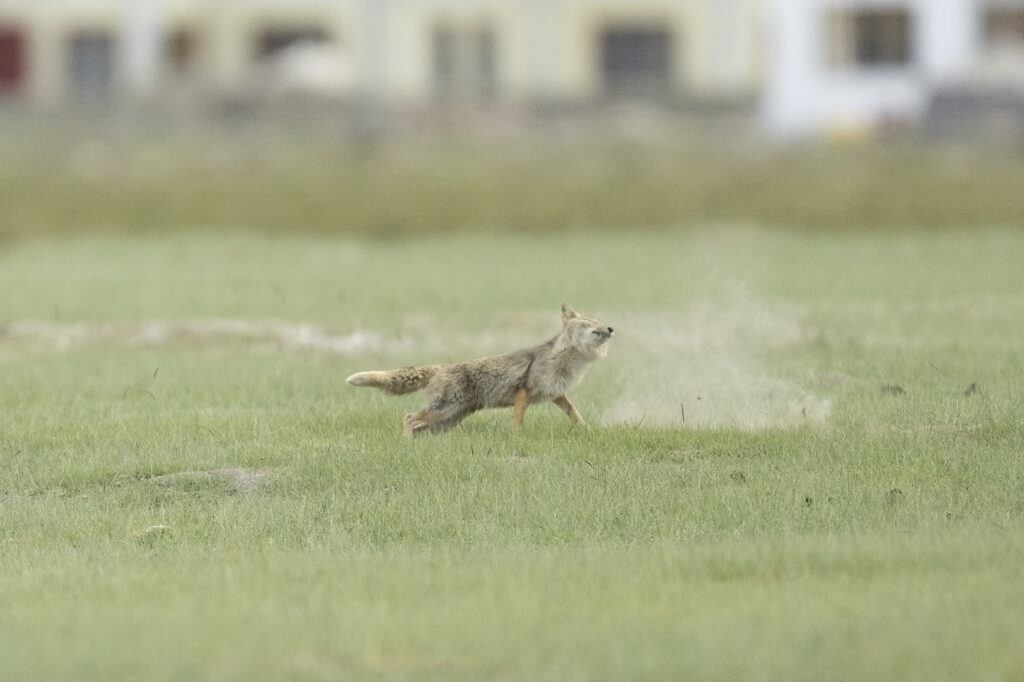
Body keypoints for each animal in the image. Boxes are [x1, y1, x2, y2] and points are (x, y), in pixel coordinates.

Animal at [346, 305, 614, 436]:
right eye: (590, 323)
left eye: (600, 322)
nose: (611, 328)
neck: (567, 363)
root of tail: (440, 367)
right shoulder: (525, 391)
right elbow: (518, 422)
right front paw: (515, 440)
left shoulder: (556, 394)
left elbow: (576, 415)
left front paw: (589, 431)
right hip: (442, 413)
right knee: (408, 418)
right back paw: (405, 442)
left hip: (447, 421)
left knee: (417, 426)